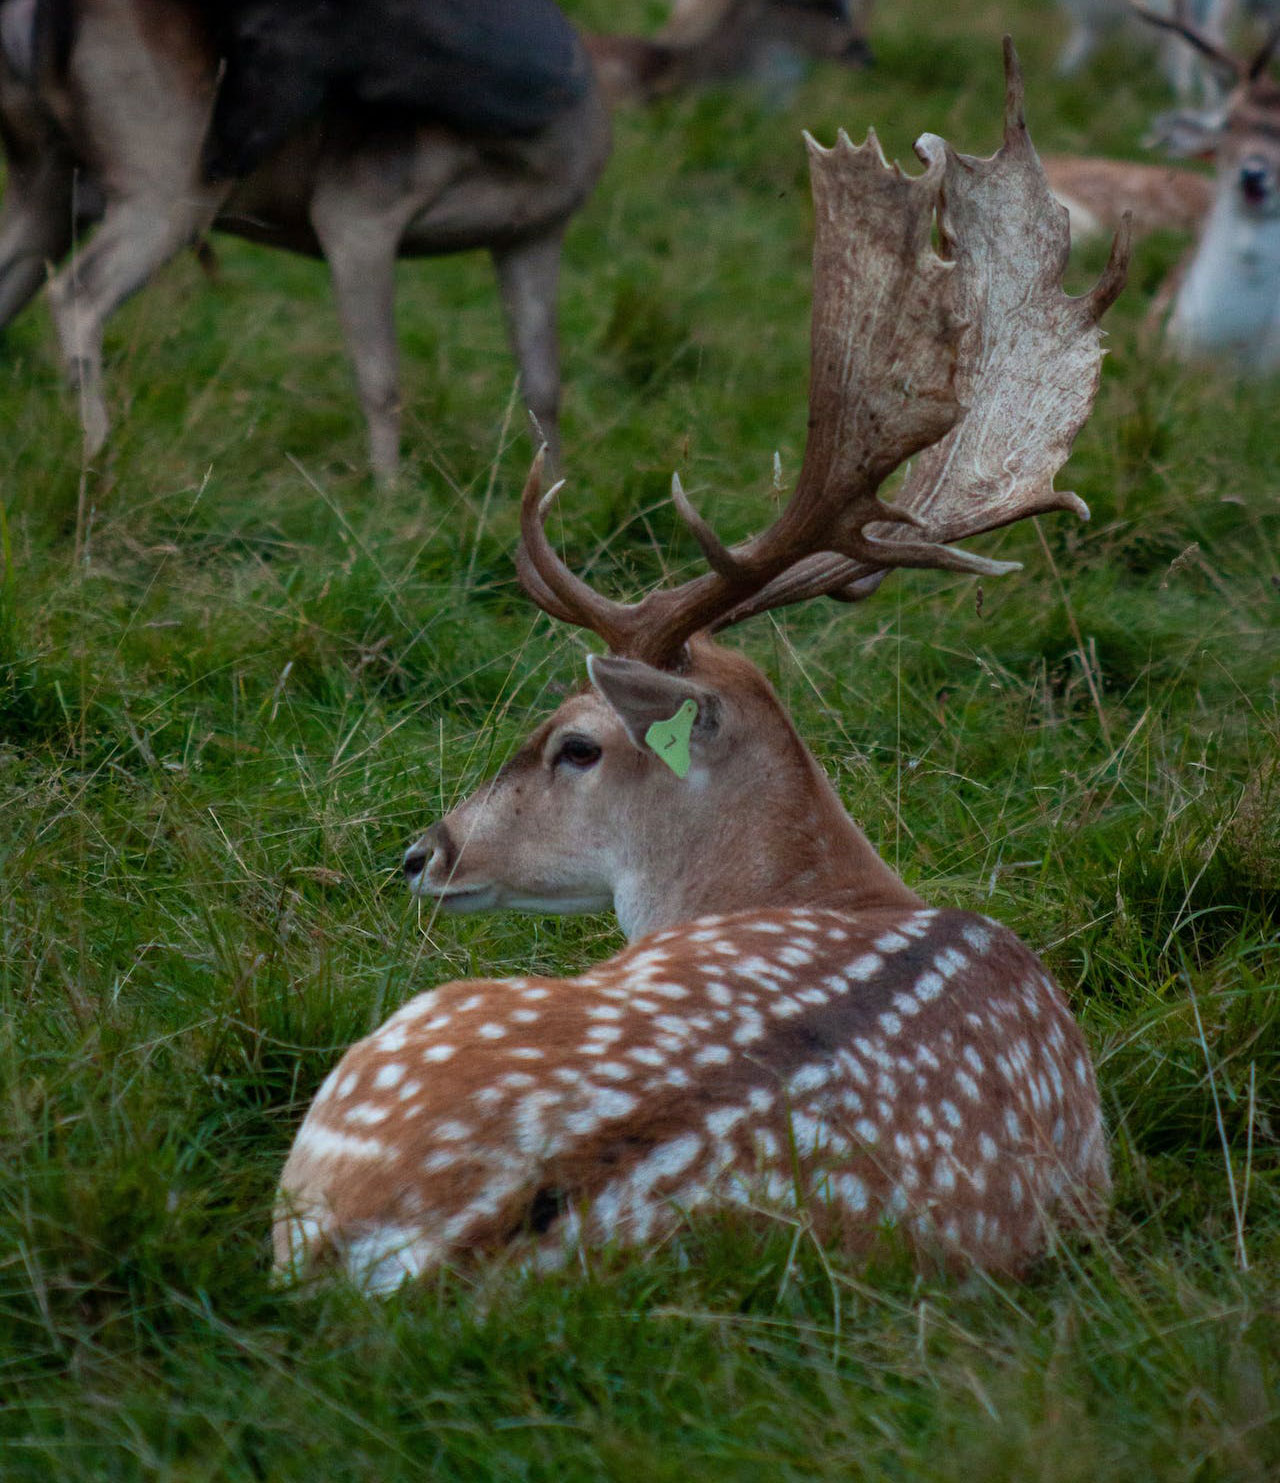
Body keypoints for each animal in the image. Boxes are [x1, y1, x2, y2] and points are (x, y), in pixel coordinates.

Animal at [0, 0, 610, 480]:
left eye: (255, 37)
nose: (217, 155)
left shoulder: (537, 231)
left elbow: (544, 386)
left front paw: (558, 493)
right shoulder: (356, 208)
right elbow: (380, 379)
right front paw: (391, 504)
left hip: (49, 180)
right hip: (160, 174)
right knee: (79, 291)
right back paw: (96, 457)